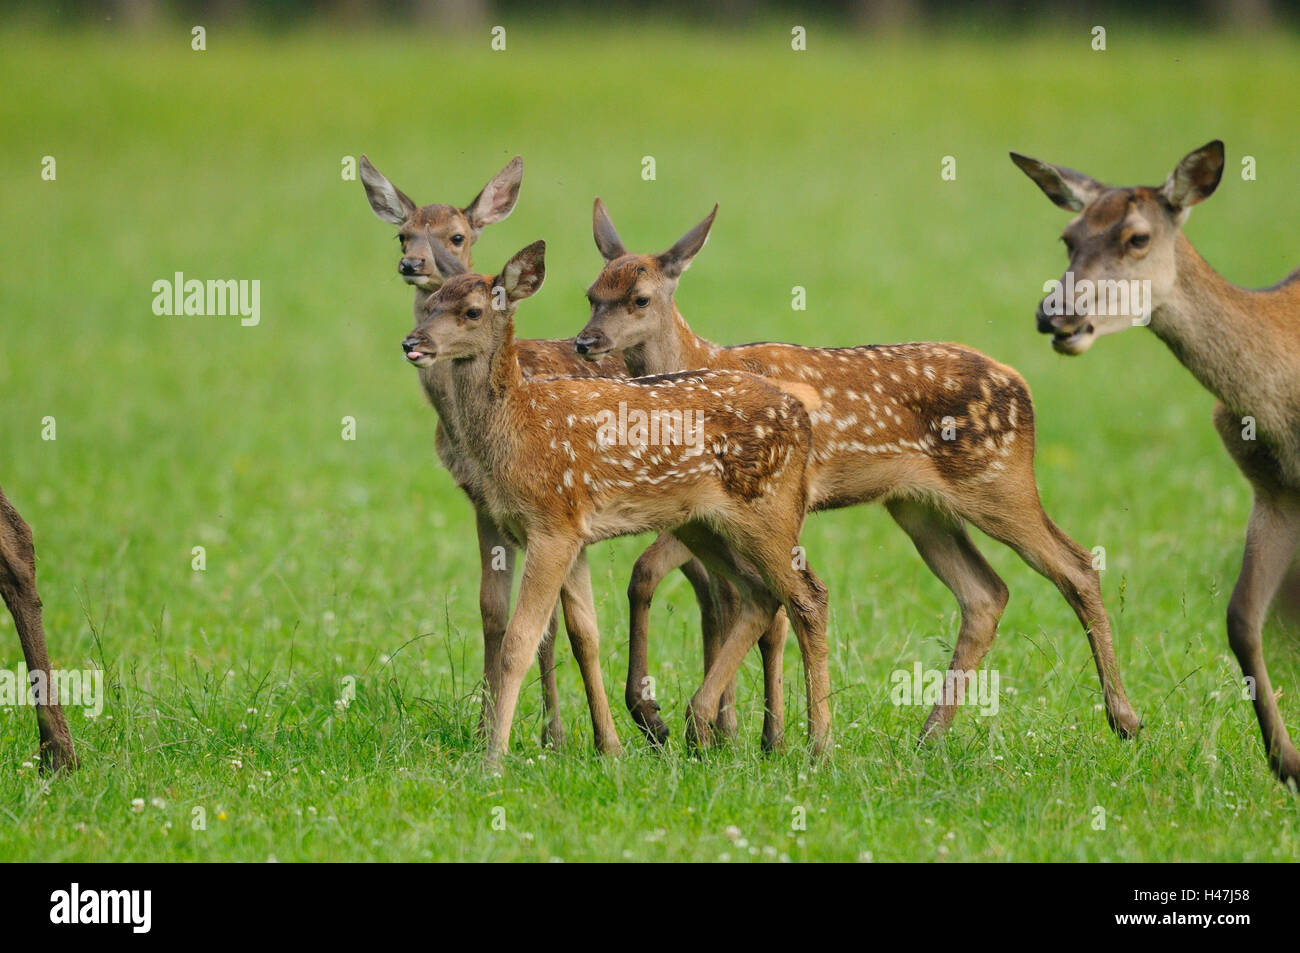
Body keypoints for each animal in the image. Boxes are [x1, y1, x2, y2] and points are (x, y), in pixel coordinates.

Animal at [359, 155, 737, 750]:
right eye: (402, 232)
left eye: (457, 236)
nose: (413, 263)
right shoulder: (484, 504)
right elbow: (494, 612)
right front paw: (493, 728)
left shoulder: (548, 513)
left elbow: (547, 625)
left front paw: (550, 736)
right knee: (709, 585)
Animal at [400, 240, 832, 768]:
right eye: (431, 302)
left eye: (472, 311)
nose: (412, 342)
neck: (519, 428)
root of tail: (802, 416)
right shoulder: (569, 530)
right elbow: (585, 631)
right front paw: (610, 747)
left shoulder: (552, 525)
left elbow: (519, 641)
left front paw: (493, 759)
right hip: (704, 524)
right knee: (760, 596)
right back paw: (699, 724)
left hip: (769, 509)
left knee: (808, 597)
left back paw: (818, 746)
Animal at [574, 199, 1144, 746]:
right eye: (591, 294)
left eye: (640, 298)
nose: (586, 341)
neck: (696, 359)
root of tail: (1022, 385)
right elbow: (719, 594)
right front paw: (727, 731)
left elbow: (661, 575)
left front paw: (716, 728)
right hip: (917, 505)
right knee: (986, 593)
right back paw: (930, 735)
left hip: (999, 480)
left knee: (1076, 566)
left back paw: (1125, 720)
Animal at [1011, 140, 1300, 787]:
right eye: (1069, 237)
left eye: (1137, 237)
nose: (1054, 314)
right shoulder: (1273, 490)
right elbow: (1242, 618)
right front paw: (1287, 763)